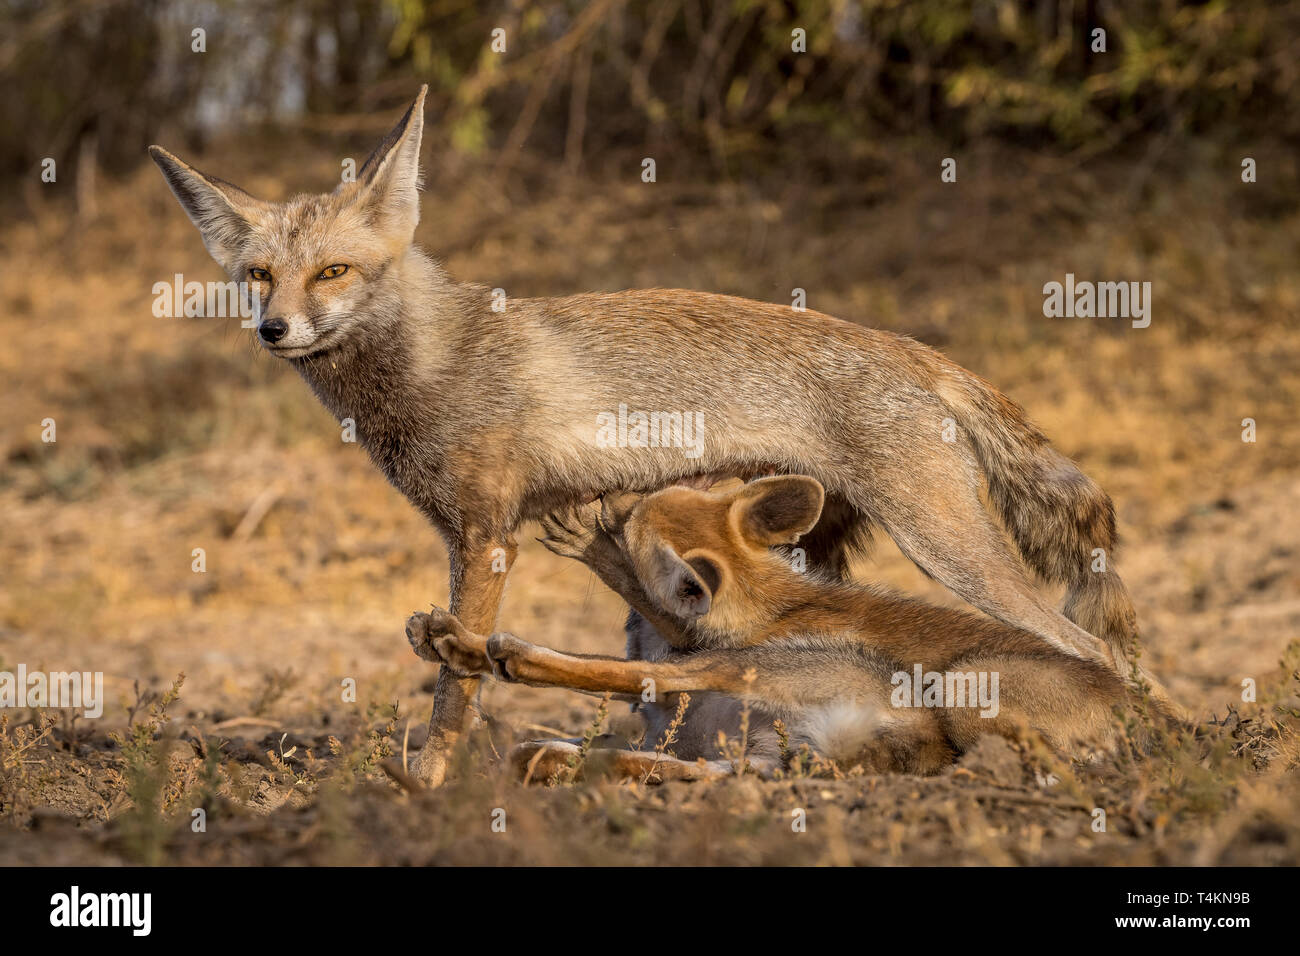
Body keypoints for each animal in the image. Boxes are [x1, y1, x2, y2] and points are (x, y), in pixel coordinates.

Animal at [408, 476, 1157, 782]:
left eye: (630, 527)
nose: (610, 504)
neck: (780, 607)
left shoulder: (701, 651)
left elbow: (625, 654)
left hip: (957, 684)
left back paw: (498, 657)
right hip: (755, 752)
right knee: (696, 774)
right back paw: (559, 758)